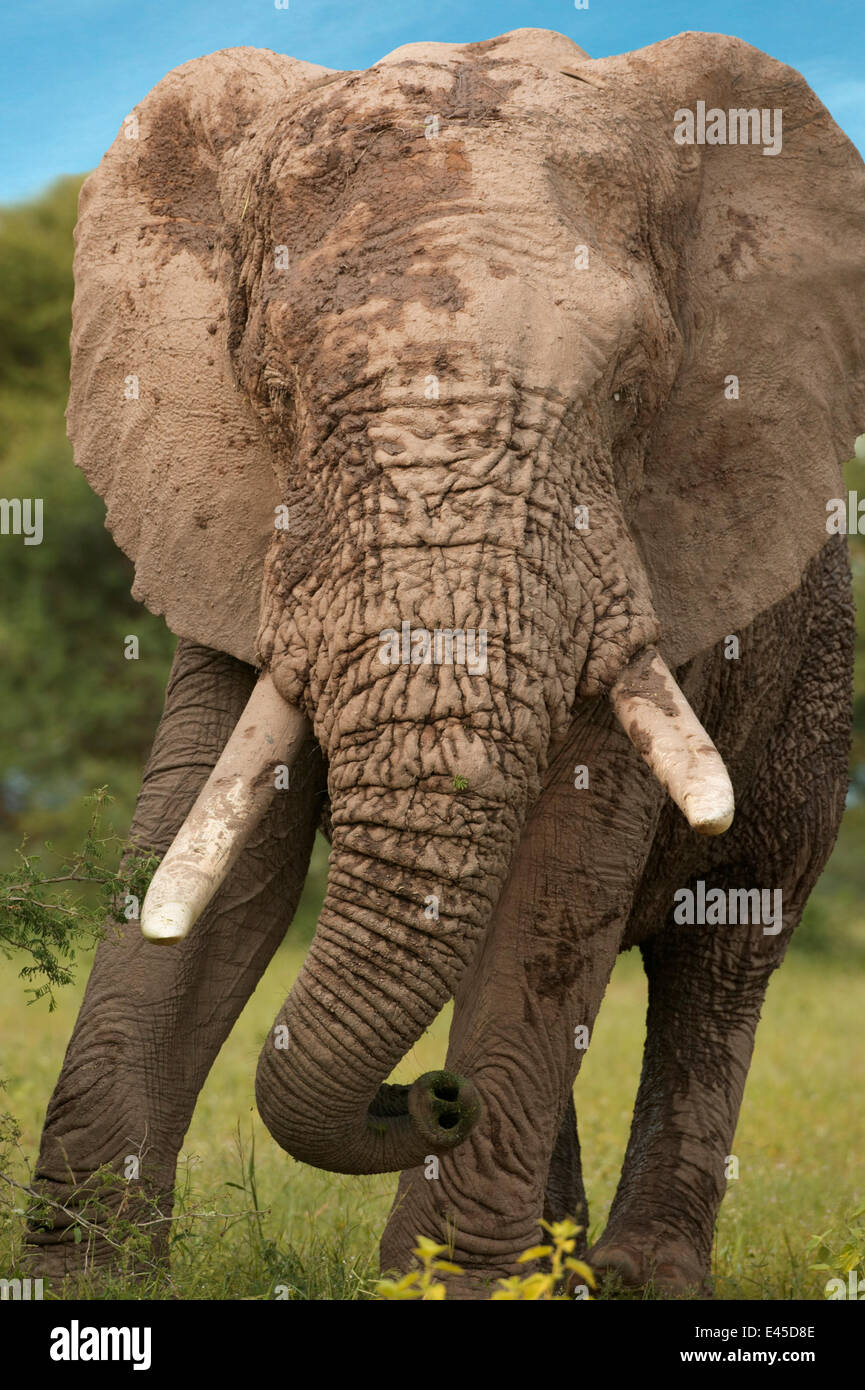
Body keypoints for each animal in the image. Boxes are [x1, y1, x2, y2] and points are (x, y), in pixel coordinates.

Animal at [27, 26, 865, 1298]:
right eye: (272, 392)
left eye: (629, 393)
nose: (424, 1094)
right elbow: (213, 861)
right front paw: (86, 1279)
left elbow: (556, 884)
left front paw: (444, 1286)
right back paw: (554, 1260)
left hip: (817, 680)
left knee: (723, 952)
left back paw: (632, 1274)